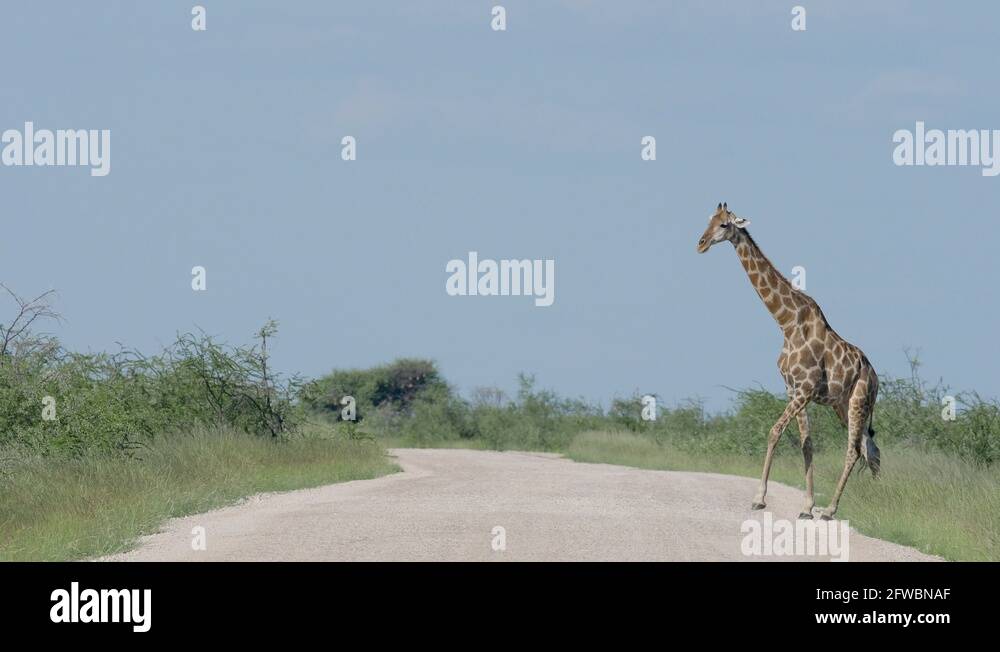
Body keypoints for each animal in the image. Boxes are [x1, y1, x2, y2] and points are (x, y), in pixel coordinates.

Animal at [696, 202, 880, 520]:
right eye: (709, 220)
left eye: (724, 225)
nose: (701, 243)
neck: (786, 323)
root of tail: (877, 378)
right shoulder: (794, 389)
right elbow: (807, 444)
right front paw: (806, 507)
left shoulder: (804, 389)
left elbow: (774, 432)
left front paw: (759, 499)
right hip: (842, 405)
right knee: (869, 449)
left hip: (859, 400)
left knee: (854, 449)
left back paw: (830, 510)